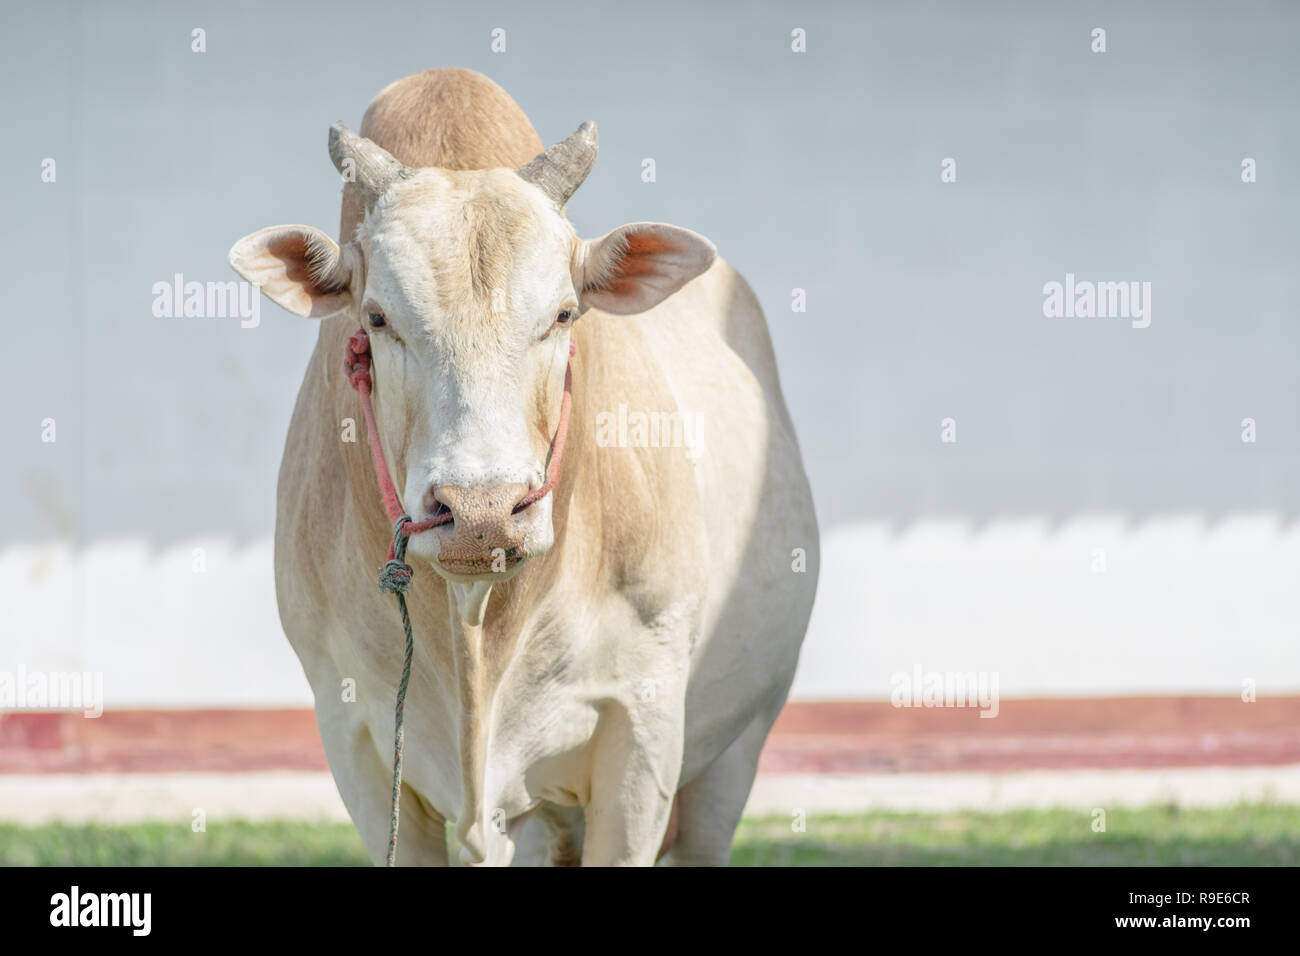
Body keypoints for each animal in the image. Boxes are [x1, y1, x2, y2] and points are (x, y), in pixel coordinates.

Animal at [228, 67, 818, 866]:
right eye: (377, 318)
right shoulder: (359, 744)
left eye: (565, 314)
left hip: (734, 755)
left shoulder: (643, 733)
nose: (482, 512)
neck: (477, 624)